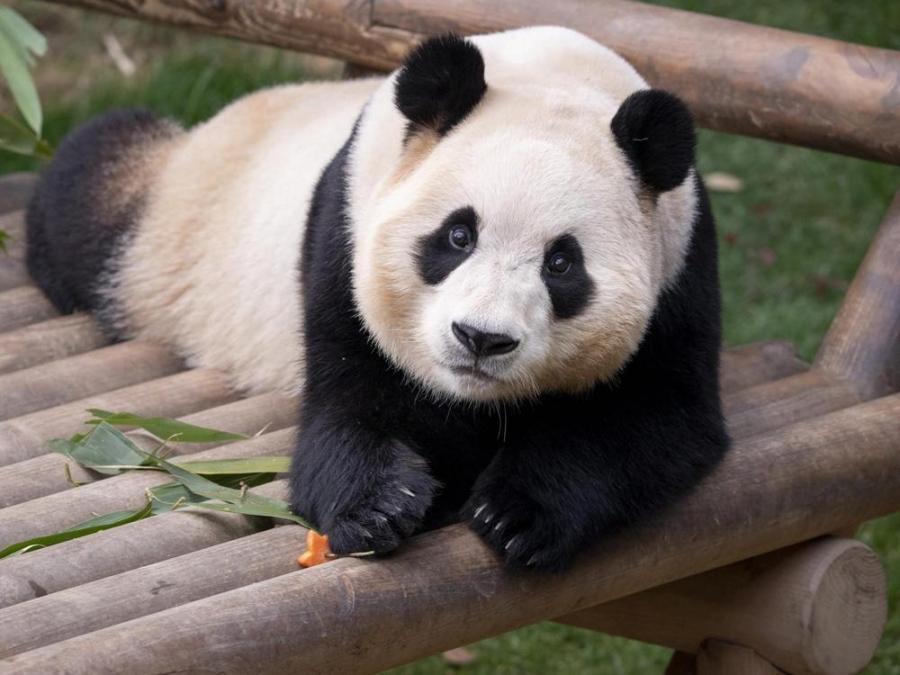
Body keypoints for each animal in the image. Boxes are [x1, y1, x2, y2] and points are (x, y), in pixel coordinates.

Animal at [26, 26, 728, 571]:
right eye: (457, 235)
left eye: (561, 264)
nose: (481, 338)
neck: (552, 74)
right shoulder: (342, 234)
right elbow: (347, 410)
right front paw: (381, 507)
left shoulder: (681, 267)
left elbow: (655, 421)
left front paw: (517, 515)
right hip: (168, 233)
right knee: (93, 177)